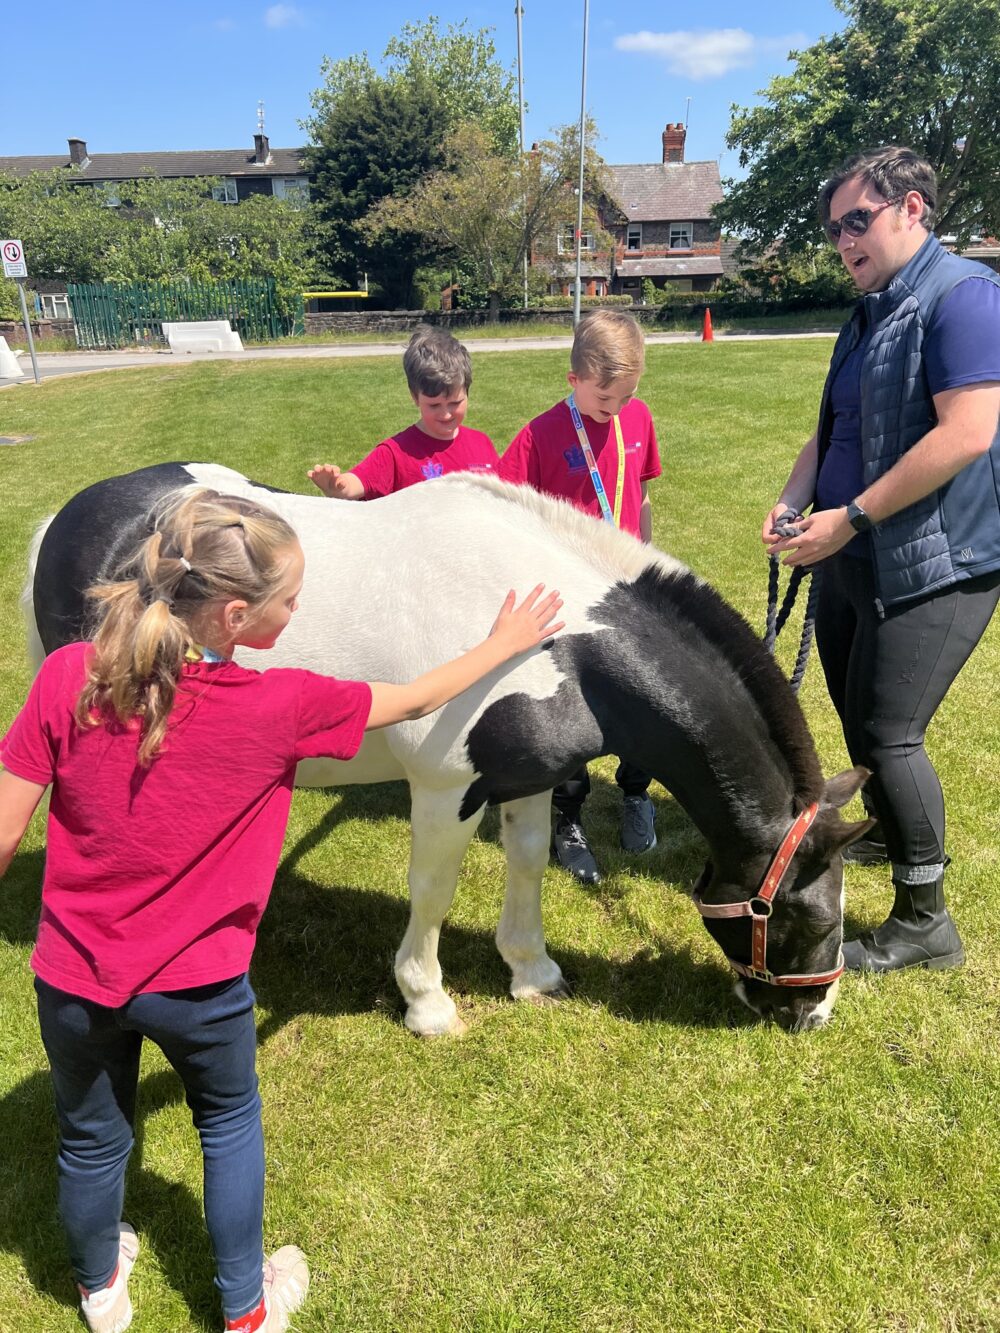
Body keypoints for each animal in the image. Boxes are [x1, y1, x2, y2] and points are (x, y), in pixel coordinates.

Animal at [25, 463, 872, 1035]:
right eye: (811, 921)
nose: (814, 1013)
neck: (556, 634)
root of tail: (69, 515)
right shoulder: (445, 787)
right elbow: (432, 891)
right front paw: (427, 1000)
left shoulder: (528, 780)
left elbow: (527, 861)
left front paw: (532, 970)